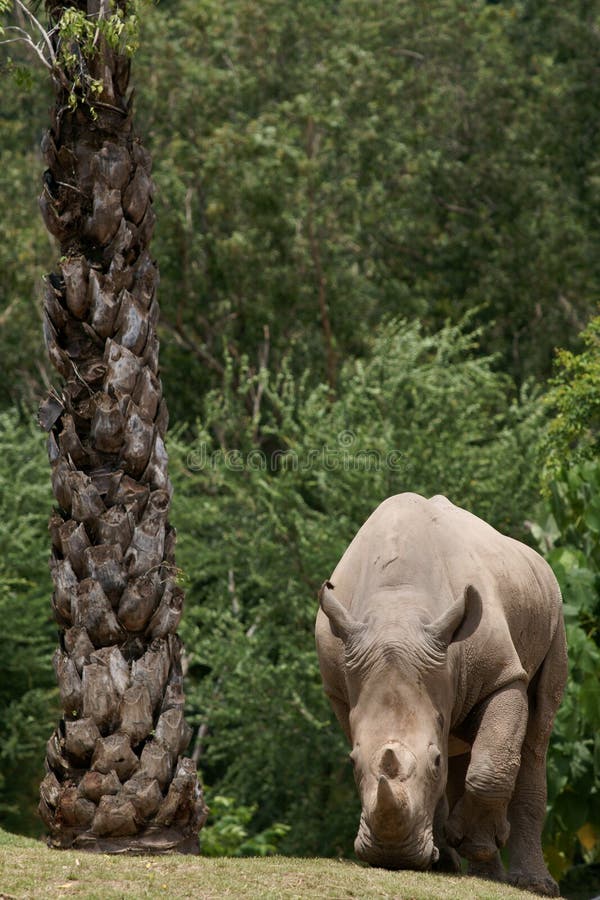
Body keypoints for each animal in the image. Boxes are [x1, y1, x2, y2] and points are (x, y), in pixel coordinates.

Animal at [315, 493, 567, 896]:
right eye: (351, 762)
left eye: (434, 761)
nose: (392, 856)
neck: (397, 612)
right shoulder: (339, 692)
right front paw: (441, 859)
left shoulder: (502, 675)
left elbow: (491, 761)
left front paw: (469, 842)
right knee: (465, 740)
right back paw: (479, 873)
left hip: (553, 608)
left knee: (535, 733)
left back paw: (532, 884)